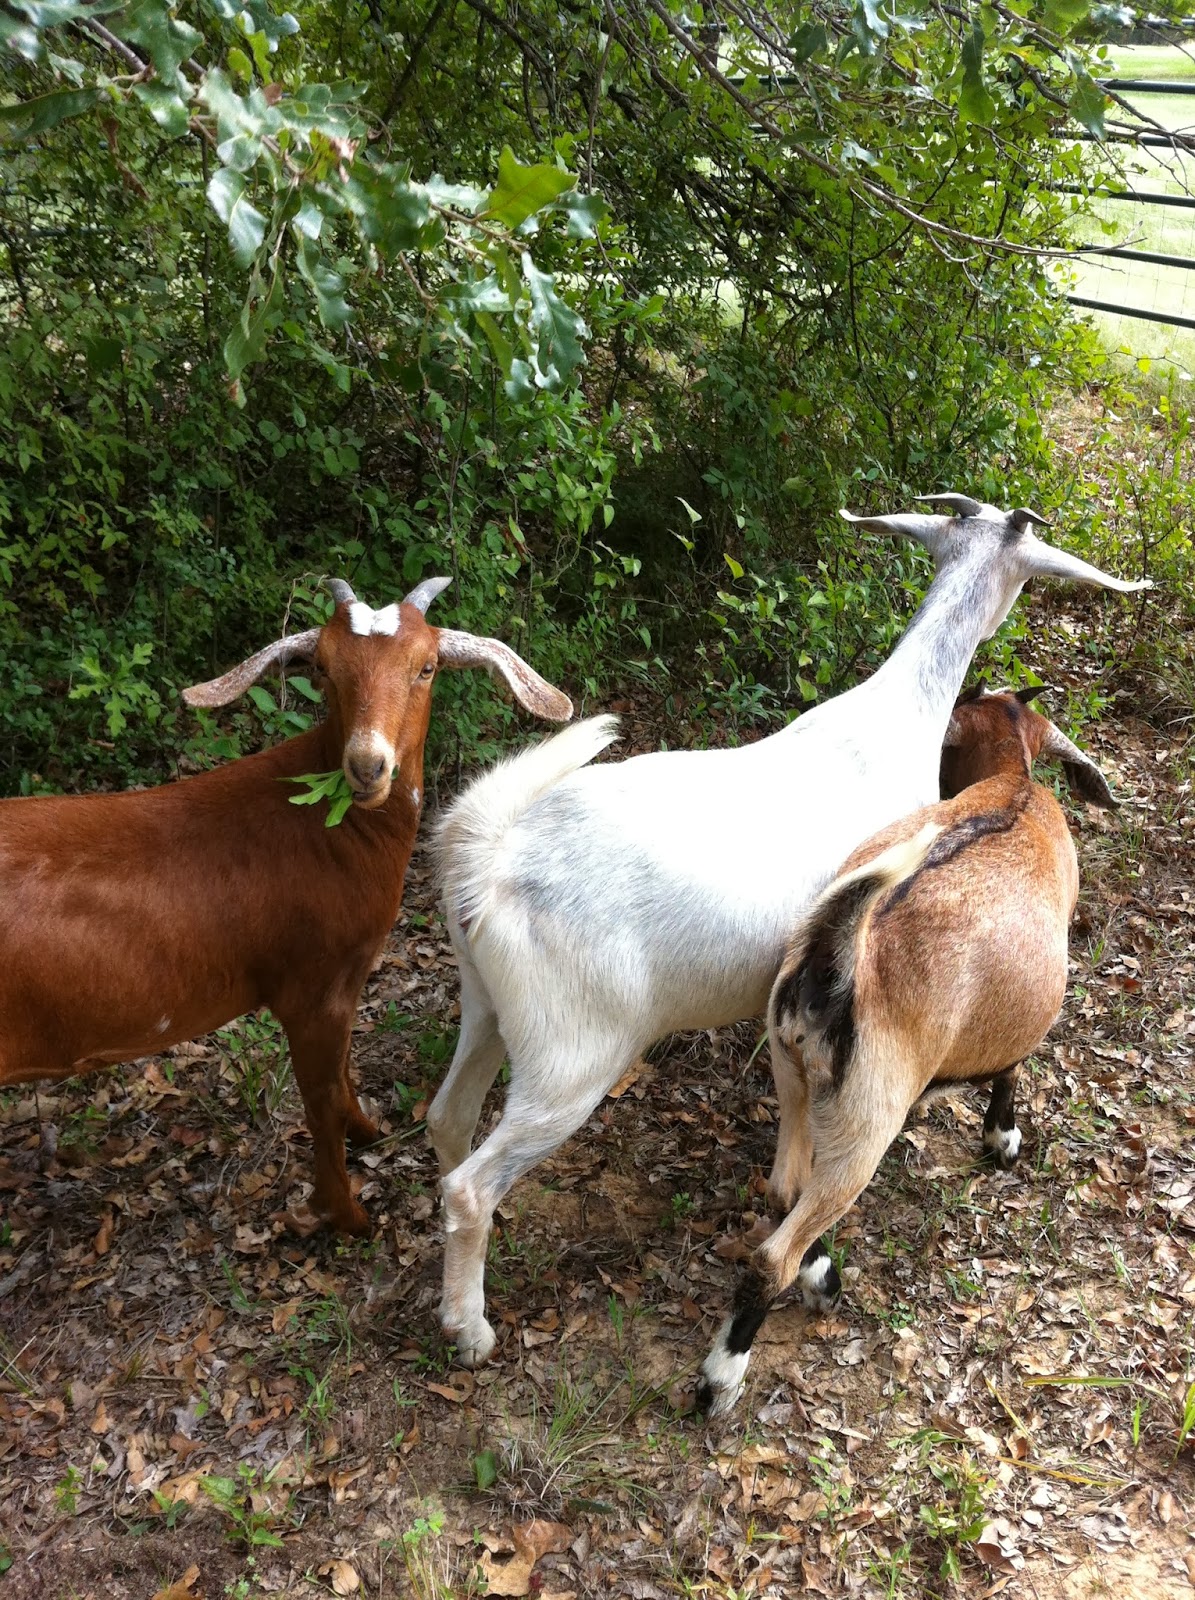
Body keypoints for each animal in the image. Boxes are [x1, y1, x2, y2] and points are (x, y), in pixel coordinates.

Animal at [0, 578, 570, 1235]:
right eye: (322, 668)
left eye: (426, 667)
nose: (367, 766)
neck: (326, 828)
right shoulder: (307, 988)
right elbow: (319, 1101)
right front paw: (345, 1214)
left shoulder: (345, 982)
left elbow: (343, 1074)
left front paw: (369, 1133)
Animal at [696, 687, 1118, 1415]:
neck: (1013, 787)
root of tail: (841, 961)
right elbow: (1012, 1070)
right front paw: (1001, 1139)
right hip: (868, 1119)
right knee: (772, 1254)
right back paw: (721, 1378)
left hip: (793, 1076)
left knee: (784, 1192)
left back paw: (822, 1276)